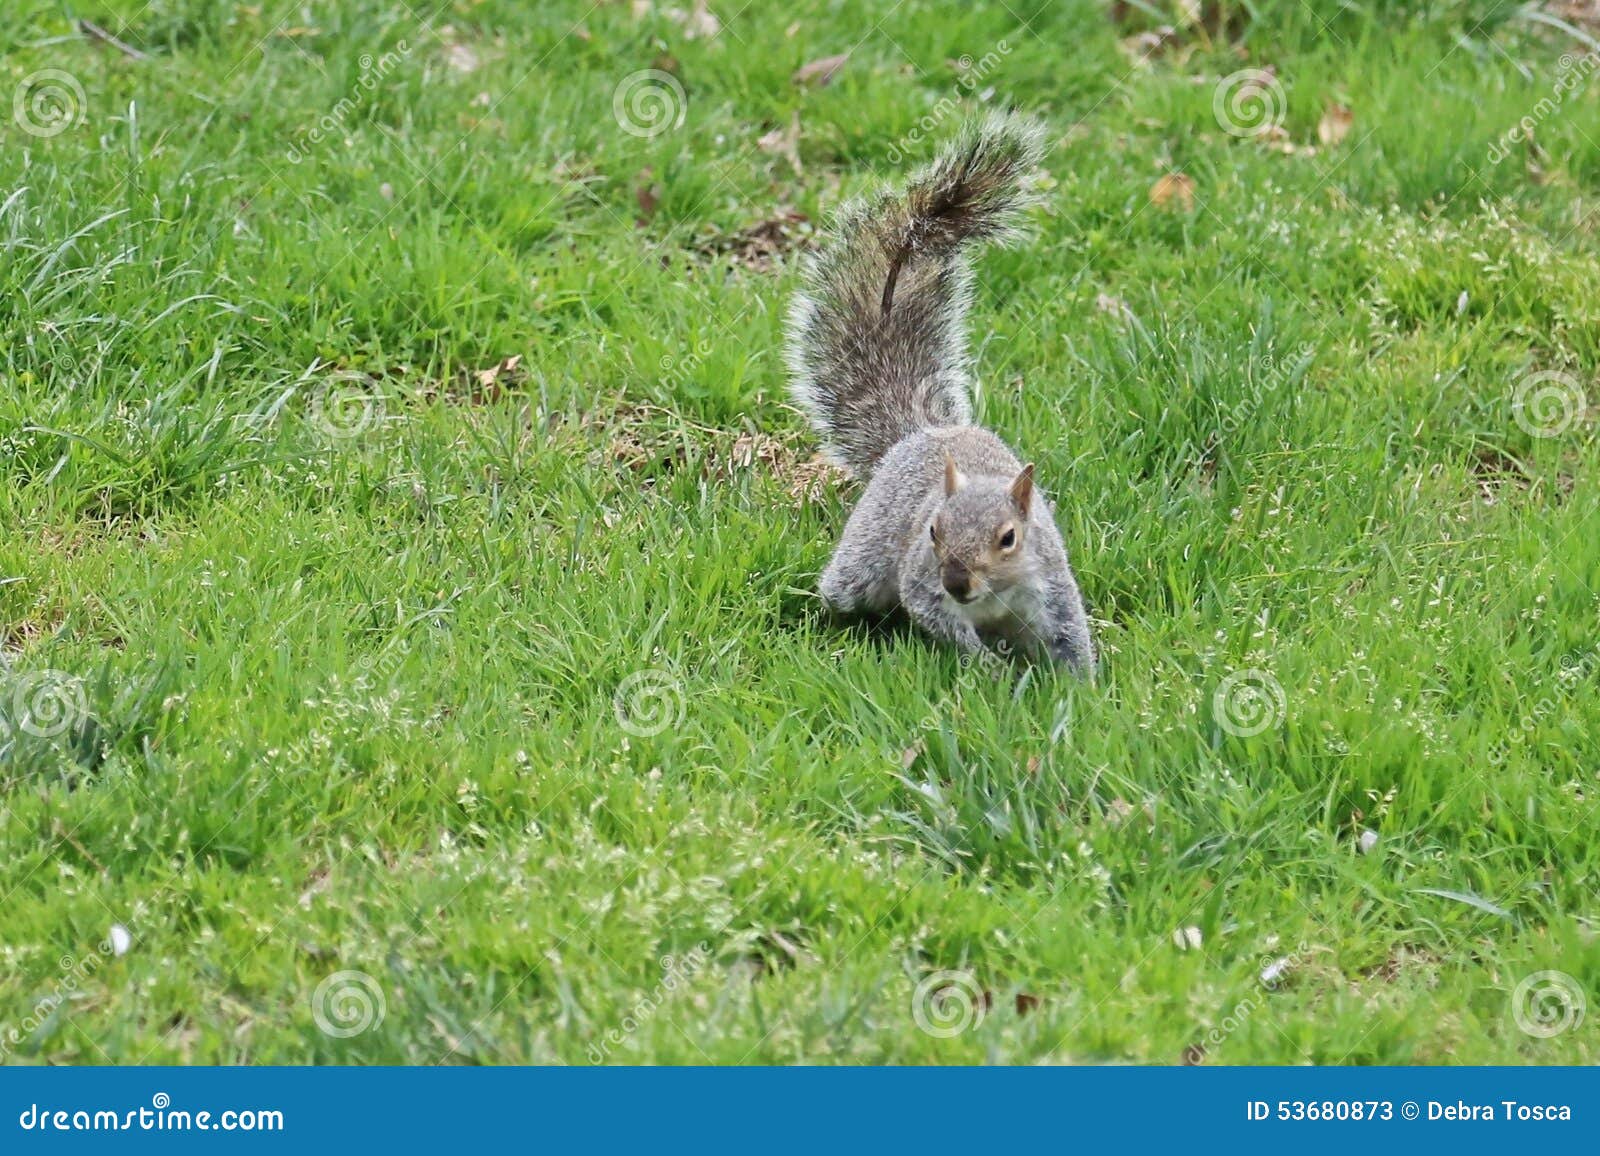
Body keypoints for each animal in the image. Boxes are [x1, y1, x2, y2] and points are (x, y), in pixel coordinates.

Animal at [785, 112, 1095, 673]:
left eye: (1009, 538)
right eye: (932, 530)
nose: (956, 581)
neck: (993, 597)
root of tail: (925, 432)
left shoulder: (1051, 587)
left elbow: (1070, 638)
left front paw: (1086, 689)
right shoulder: (923, 582)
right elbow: (938, 618)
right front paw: (990, 670)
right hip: (864, 557)